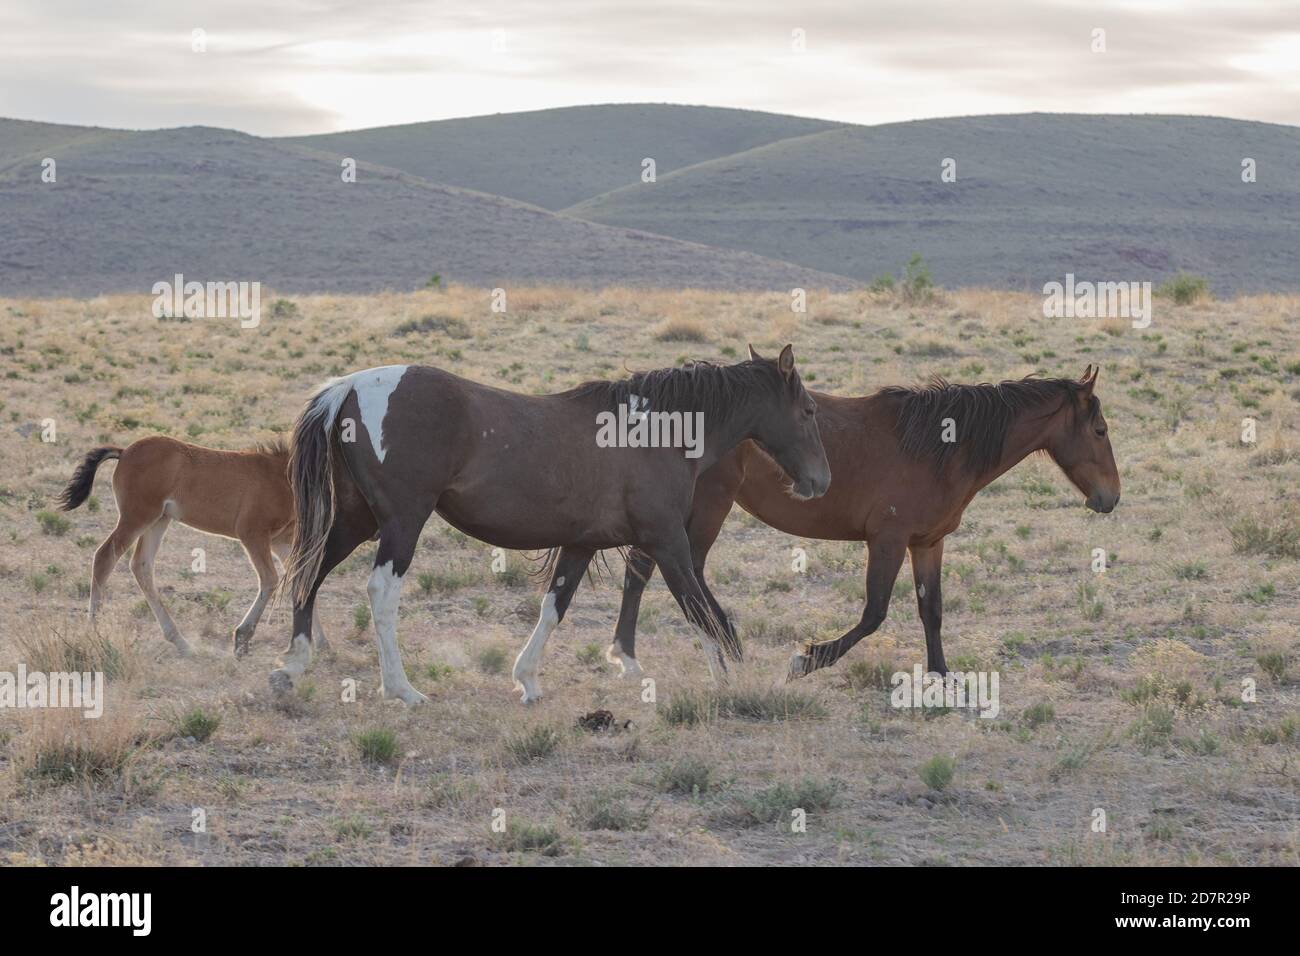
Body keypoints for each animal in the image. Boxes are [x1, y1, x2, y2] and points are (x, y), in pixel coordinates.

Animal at [56, 435, 328, 656]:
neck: (280, 475)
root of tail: (124, 452)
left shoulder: (281, 542)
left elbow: (304, 580)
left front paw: (321, 645)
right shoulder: (253, 534)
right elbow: (271, 580)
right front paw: (242, 640)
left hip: (158, 520)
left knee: (141, 566)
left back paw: (180, 641)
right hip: (137, 518)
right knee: (105, 557)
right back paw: (93, 632)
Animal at [276, 345, 831, 705]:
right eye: (808, 409)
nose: (819, 481)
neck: (656, 433)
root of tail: (349, 386)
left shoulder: (581, 545)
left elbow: (553, 608)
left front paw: (527, 680)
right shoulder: (668, 544)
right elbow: (700, 610)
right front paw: (729, 682)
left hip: (356, 519)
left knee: (310, 573)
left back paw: (293, 665)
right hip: (401, 523)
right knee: (379, 592)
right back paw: (402, 688)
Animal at [609, 365, 1121, 680]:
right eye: (1100, 430)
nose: (1110, 497)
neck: (941, 447)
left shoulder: (927, 543)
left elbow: (932, 611)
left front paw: (942, 677)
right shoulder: (887, 541)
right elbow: (874, 614)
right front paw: (806, 660)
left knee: (655, 569)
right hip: (708, 507)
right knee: (673, 570)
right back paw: (681, 648)